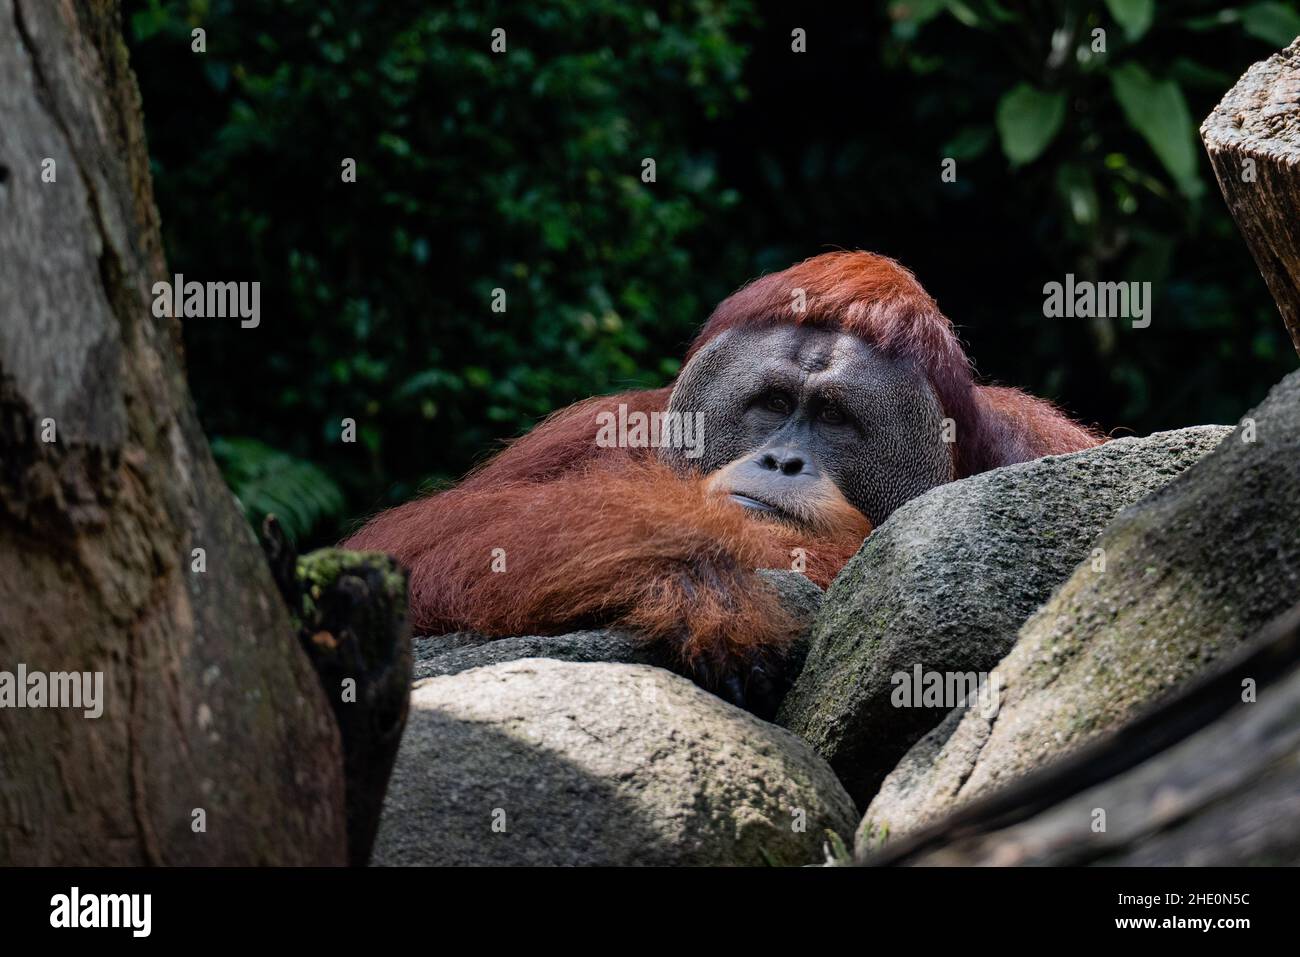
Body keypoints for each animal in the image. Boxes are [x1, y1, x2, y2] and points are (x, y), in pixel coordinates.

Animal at [344, 251, 1101, 715]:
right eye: (772, 402)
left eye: (834, 416)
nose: (783, 462)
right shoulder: (599, 424)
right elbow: (420, 538)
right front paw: (700, 580)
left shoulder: (1037, 446)